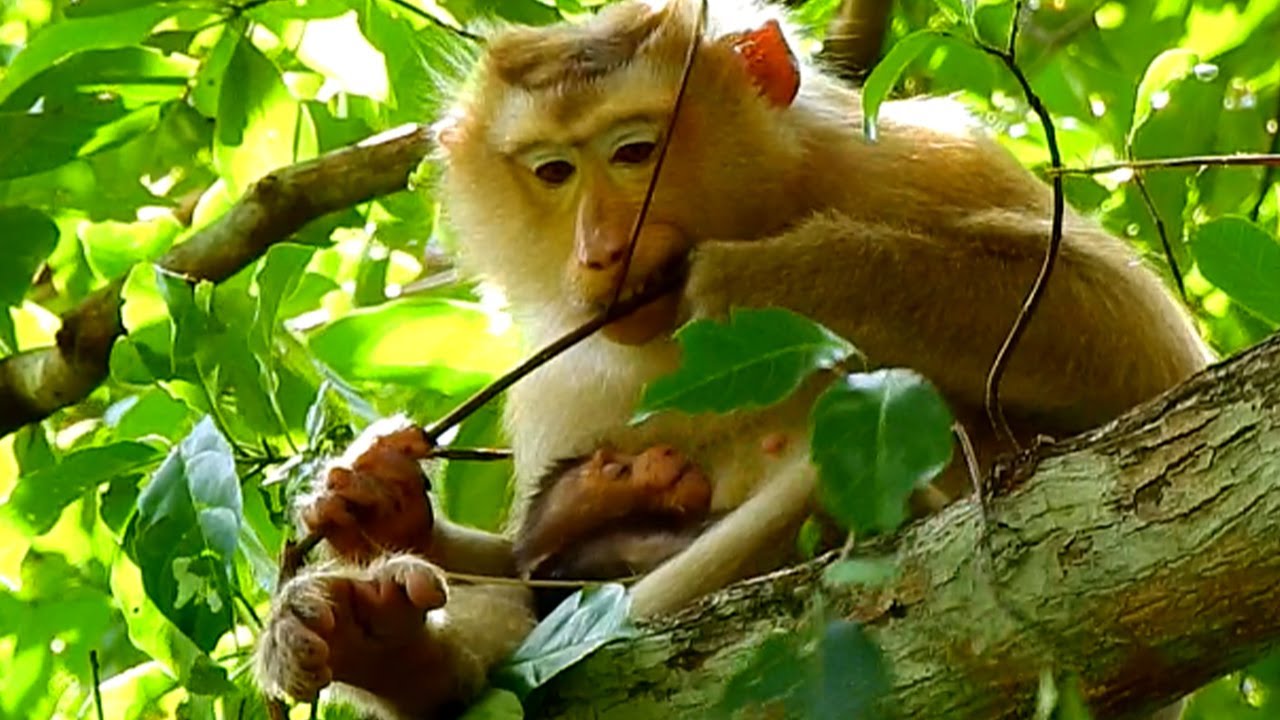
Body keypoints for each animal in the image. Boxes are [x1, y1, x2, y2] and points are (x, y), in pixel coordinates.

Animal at [255, 0, 1213, 717]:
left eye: (635, 151)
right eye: (554, 171)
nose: (601, 250)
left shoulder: (926, 159)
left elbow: (1150, 362)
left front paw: (766, 275)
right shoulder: (566, 376)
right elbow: (529, 580)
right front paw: (380, 508)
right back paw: (381, 640)